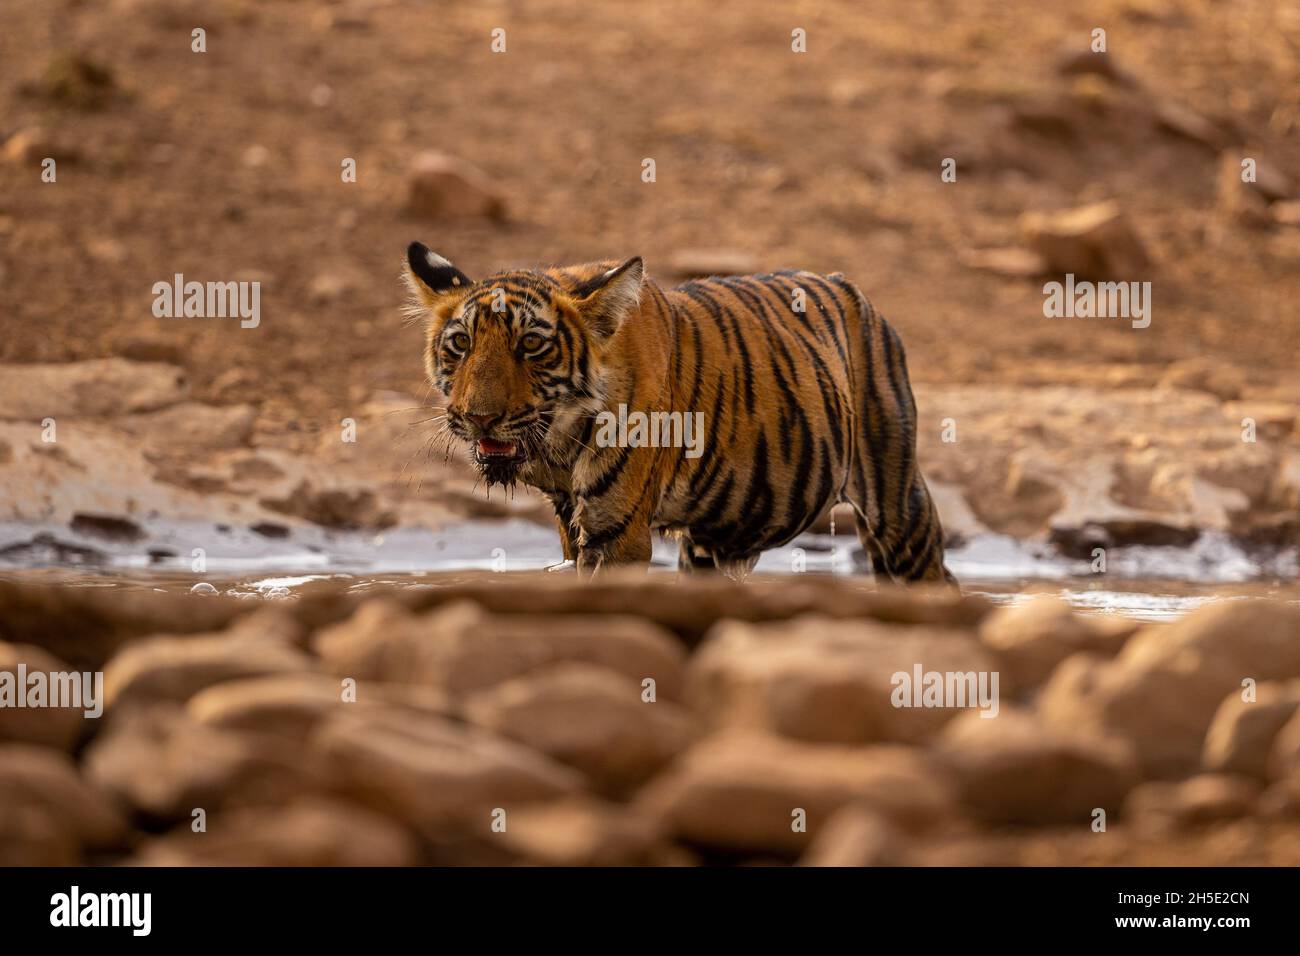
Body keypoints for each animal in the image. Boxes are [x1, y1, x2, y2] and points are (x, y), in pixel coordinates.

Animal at [403, 241, 955, 585]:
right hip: (711, 544)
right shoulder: (570, 523)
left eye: (531, 345)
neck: (557, 442)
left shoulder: (616, 533)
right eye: (461, 343)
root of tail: (846, 284)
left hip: (895, 501)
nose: (479, 417)